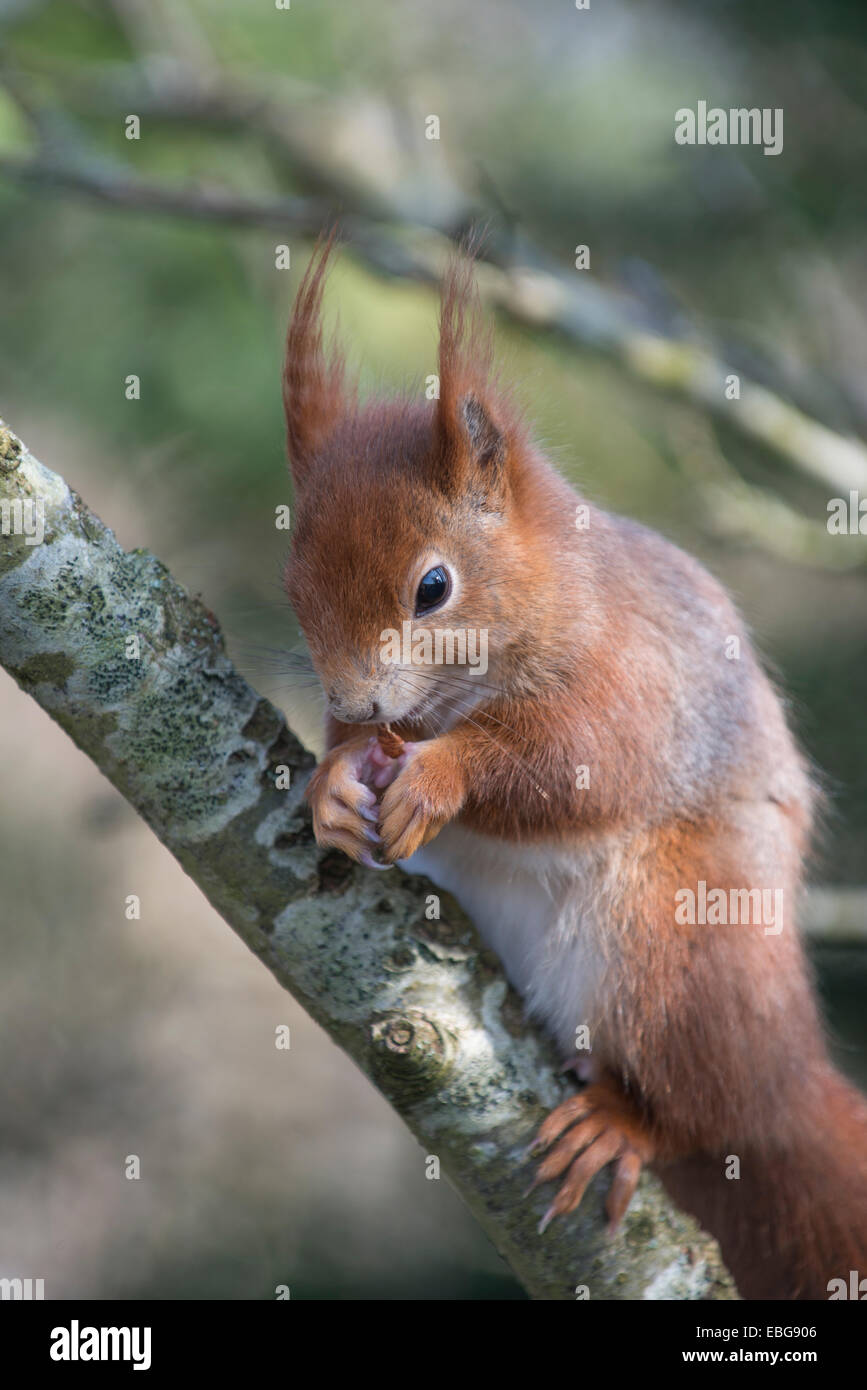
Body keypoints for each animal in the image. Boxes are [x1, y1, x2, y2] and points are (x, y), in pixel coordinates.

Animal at [281, 234, 867, 1300]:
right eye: (292, 585)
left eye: (433, 586)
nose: (367, 703)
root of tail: (789, 1073)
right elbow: (349, 755)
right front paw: (332, 785)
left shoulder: (632, 679)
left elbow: (572, 760)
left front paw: (441, 775)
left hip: (681, 938)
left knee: (704, 1109)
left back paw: (623, 1125)